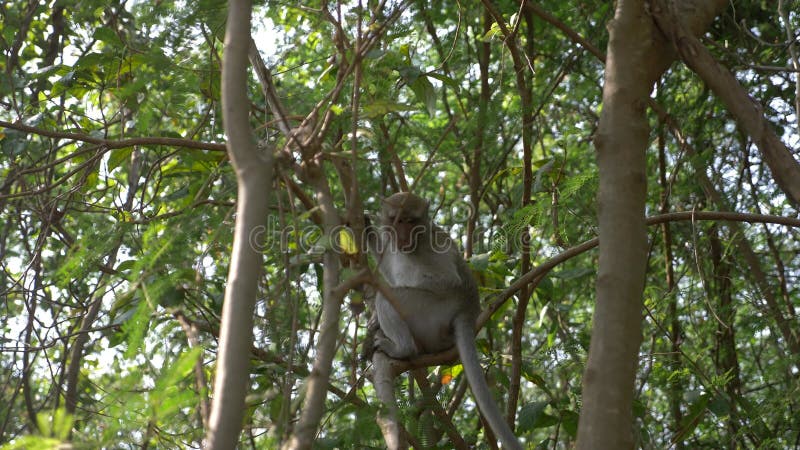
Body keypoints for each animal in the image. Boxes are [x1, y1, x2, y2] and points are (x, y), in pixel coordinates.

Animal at [370, 192, 522, 450]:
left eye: (410, 221)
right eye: (397, 221)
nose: (403, 236)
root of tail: (468, 312)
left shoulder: (431, 250)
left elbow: (447, 280)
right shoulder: (393, 249)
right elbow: (388, 267)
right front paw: (364, 231)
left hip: (431, 312)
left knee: (391, 298)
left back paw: (402, 348)